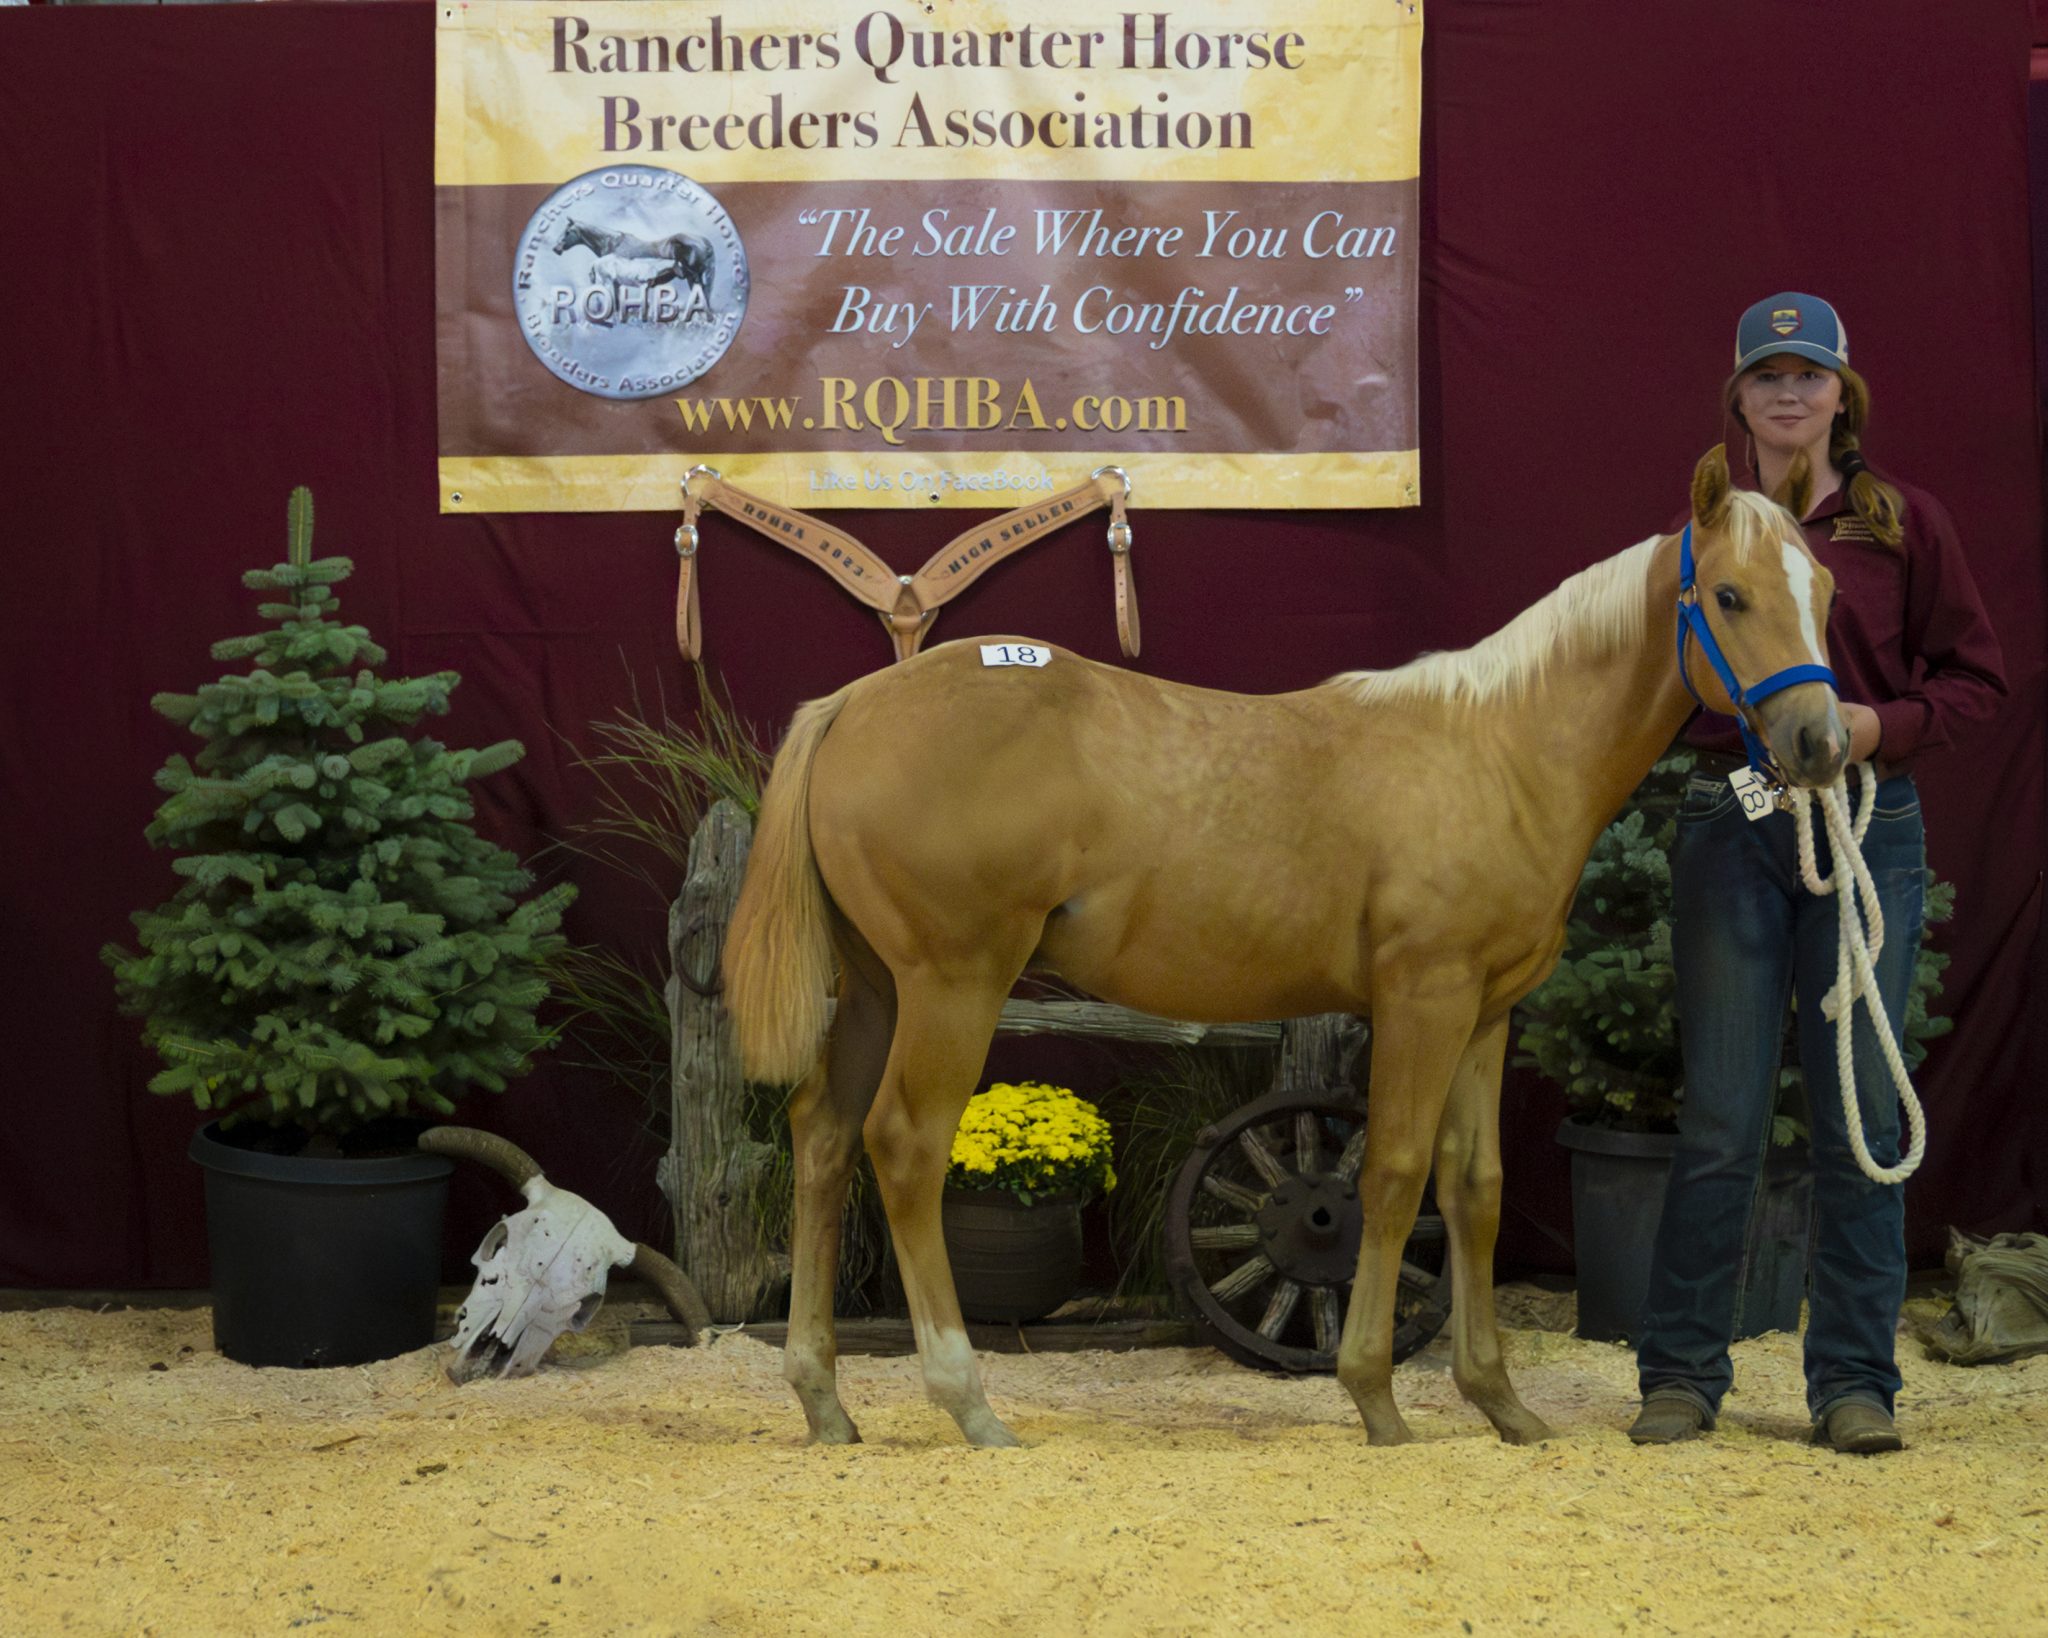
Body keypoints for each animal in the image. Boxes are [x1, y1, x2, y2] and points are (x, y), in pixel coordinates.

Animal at [723, 446, 1845, 1449]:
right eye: (1732, 597)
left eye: (1824, 589)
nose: (1823, 743)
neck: (1495, 752)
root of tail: (852, 704)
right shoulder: (1423, 997)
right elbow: (1392, 1176)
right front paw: (1375, 1397)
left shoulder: (1486, 1011)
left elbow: (1475, 1191)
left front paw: (1502, 1405)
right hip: (952, 983)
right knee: (906, 1146)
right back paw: (970, 1406)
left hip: (874, 988)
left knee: (823, 1136)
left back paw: (824, 1402)